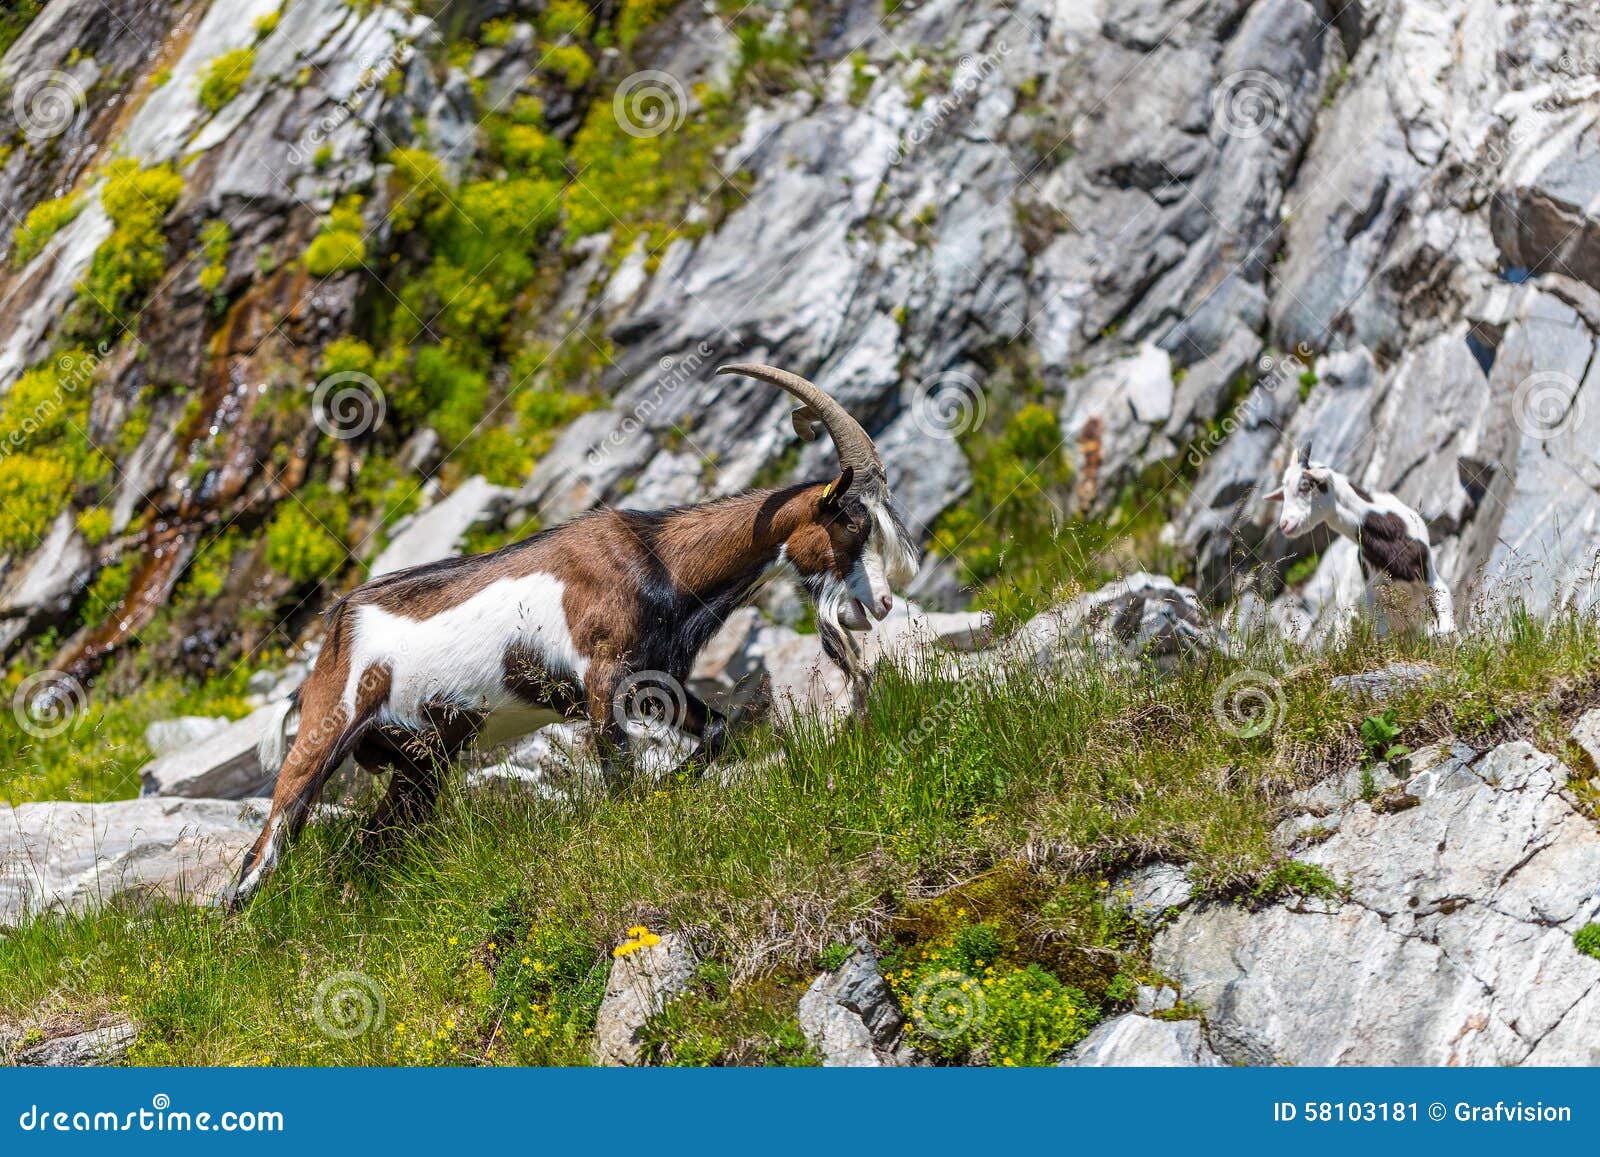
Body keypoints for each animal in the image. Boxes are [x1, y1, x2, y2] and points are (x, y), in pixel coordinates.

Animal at [227, 364, 918, 905]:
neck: (658, 559)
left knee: (373, 843)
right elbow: (617, 779)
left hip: (421, 762)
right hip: (325, 734)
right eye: (852, 520)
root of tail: (333, 636)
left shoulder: (658, 682)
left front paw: (671, 787)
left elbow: (720, 732)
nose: (882, 602)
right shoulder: (603, 681)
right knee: (261, 857)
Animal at [1265, 442, 1455, 638]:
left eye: (1305, 486)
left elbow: (1446, 628)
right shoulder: (1376, 599)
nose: (1285, 524)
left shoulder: (1431, 579)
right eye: (1284, 493)